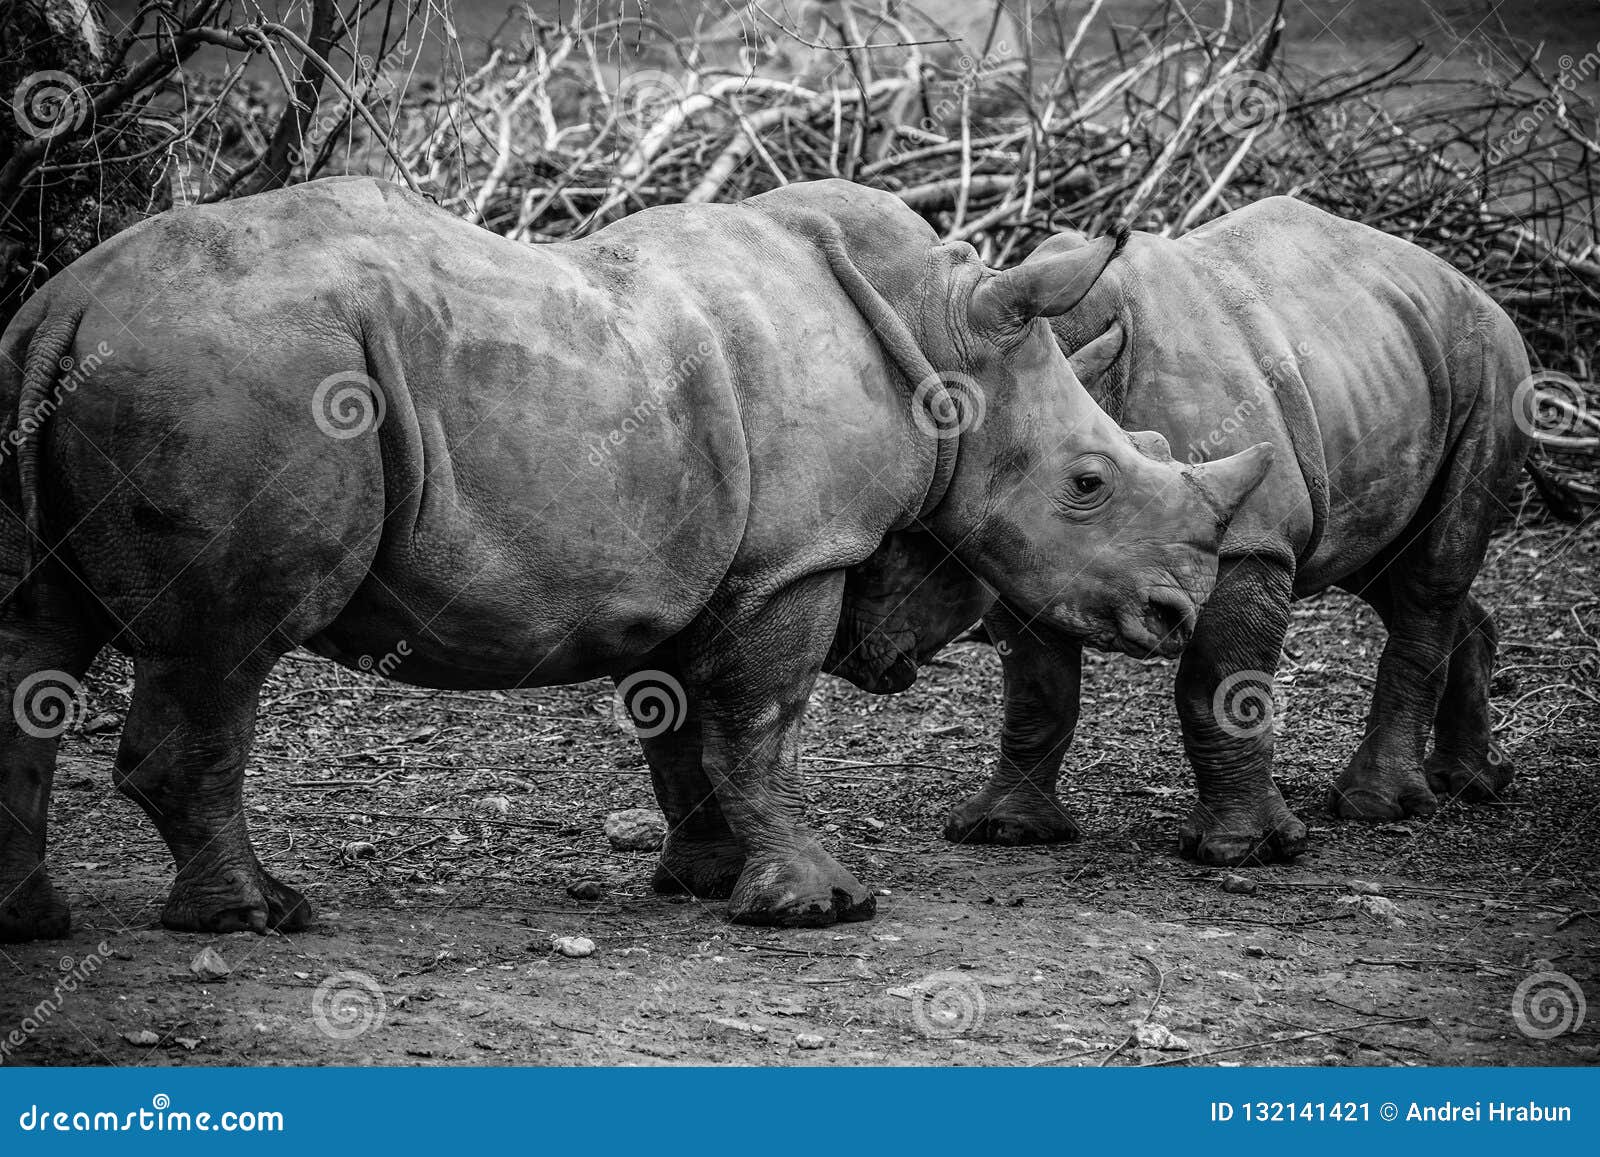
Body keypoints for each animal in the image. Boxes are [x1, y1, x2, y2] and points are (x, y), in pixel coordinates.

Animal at [0, 176, 1272, 940]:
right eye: (1088, 482)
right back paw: (259, 915)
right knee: (225, 646)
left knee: (41, 640)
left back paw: (35, 922)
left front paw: (704, 879)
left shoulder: (690, 565)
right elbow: (757, 722)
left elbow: (684, 731)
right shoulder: (792, 559)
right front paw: (821, 903)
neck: (943, 336)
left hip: (95, 370)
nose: (1173, 610)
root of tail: (67, 303)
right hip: (239, 379)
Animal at [826, 195, 1540, 866]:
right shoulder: (1020, 545)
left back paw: (1376, 806)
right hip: (1386, 361)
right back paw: (1472, 781)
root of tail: (1463, 280)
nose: (861, 654)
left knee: (1432, 568)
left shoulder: (1248, 534)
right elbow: (1036, 689)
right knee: (1382, 558)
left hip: (1493, 360)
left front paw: (1242, 849)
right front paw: (1006, 830)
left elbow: (1215, 682)